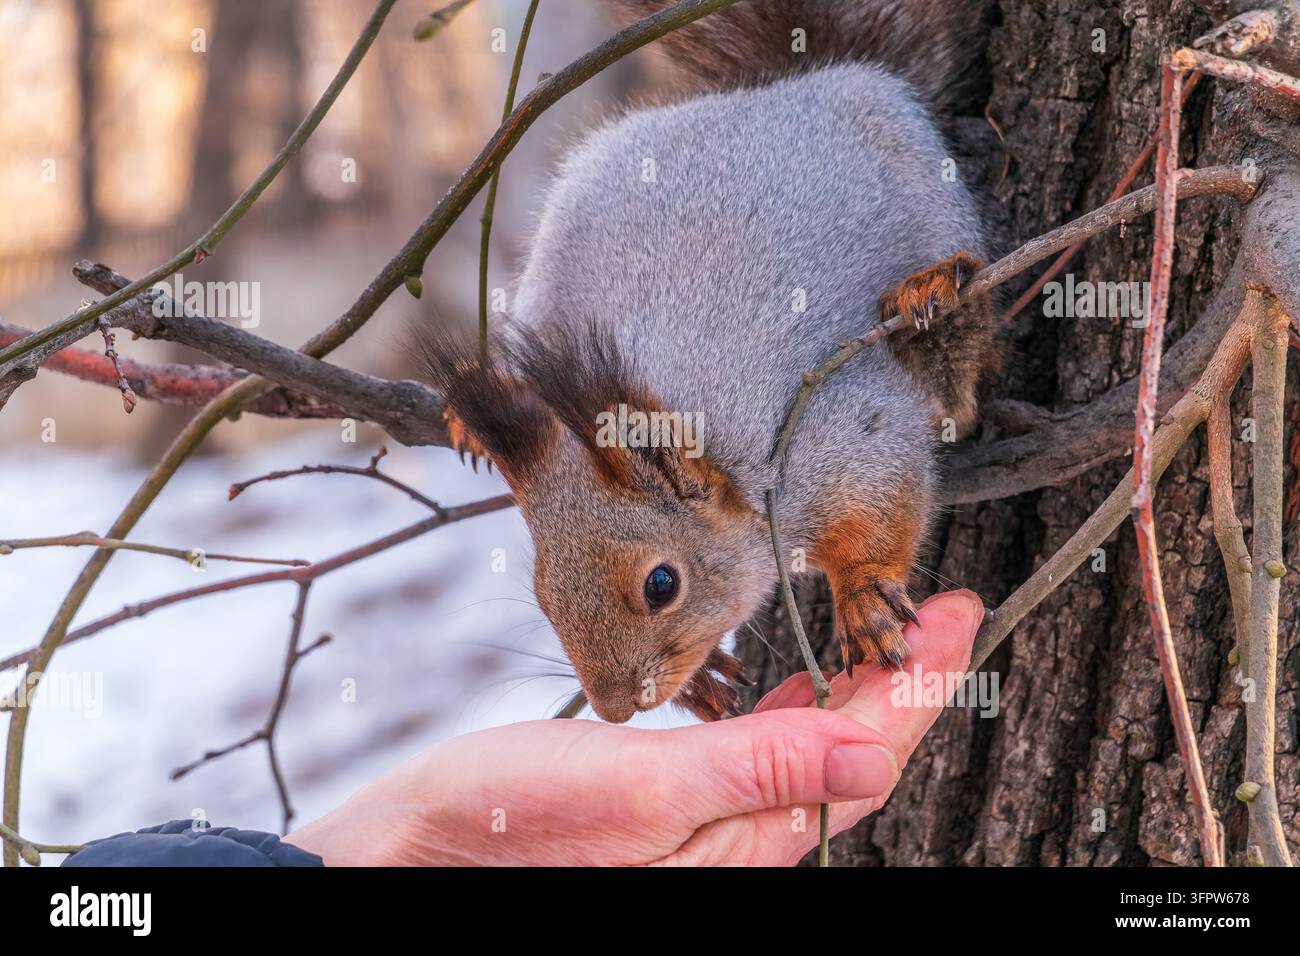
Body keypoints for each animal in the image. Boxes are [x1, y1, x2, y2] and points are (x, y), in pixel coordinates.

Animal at [422, 0, 999, 724]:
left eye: (662, 584)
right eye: (543, 595)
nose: (615, 709)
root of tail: (777, 90)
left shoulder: (843, 430)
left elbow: (883, 501)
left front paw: (864, 598)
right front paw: (702, 681)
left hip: (929, 189)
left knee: (963, 398)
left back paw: (938, 307)